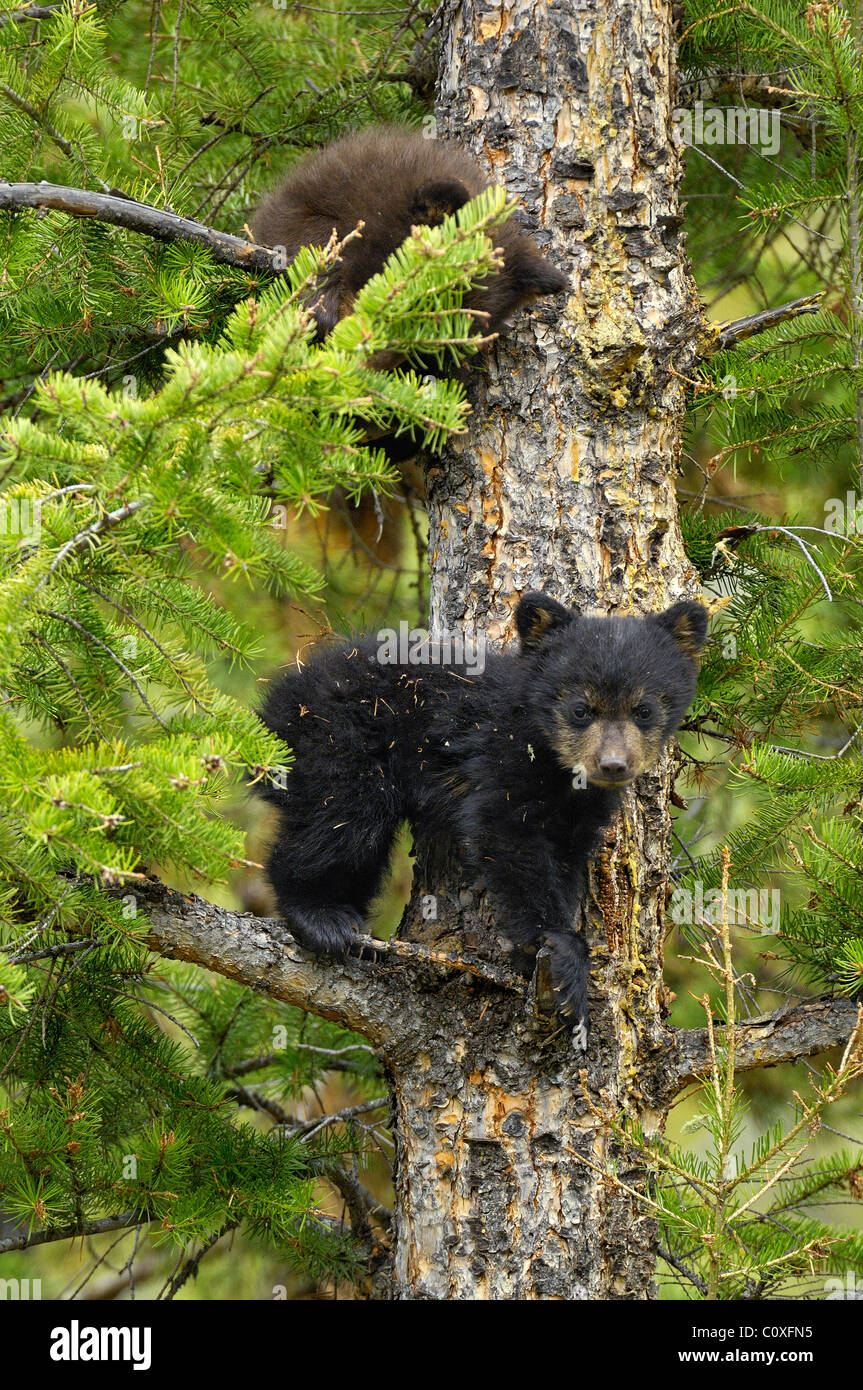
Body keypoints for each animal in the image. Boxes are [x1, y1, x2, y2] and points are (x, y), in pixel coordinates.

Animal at [253, 592, 708, 1048]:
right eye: (581, 709)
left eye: (643, 709)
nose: (612, 765)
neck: (558, 767)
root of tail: (279, 701)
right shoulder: (500, 759)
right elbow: (506, 837)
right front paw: (562, 956)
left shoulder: (581, 810)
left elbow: (566, 857)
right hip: (342, 744)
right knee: (340, 822)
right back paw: (321, 916)